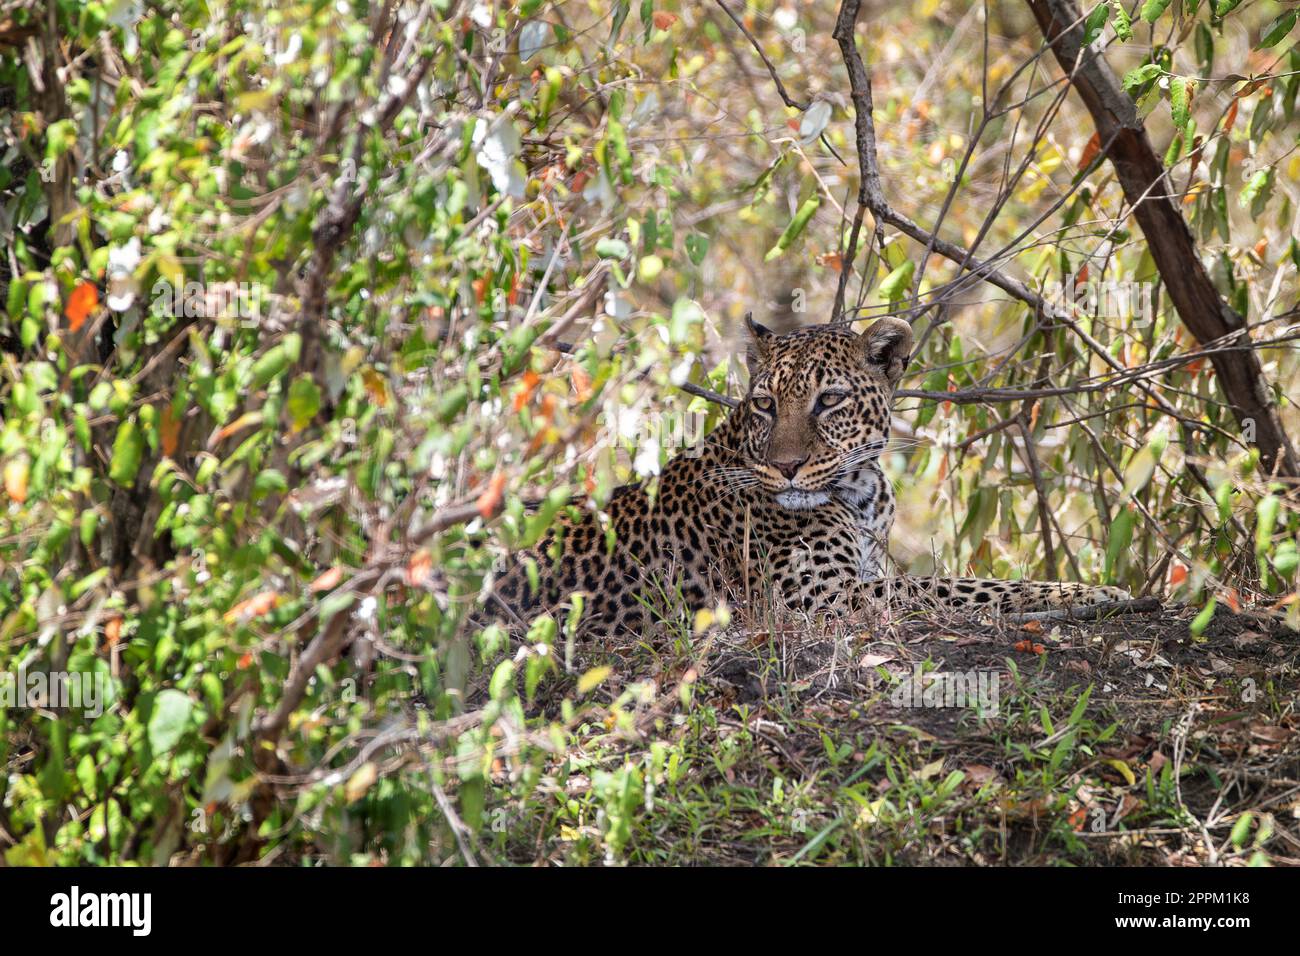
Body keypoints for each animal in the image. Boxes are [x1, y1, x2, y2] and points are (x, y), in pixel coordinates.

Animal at [488, 315, 1129, 639]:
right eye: (766, 404)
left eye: (829, 401)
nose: (786, 466)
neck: (862, 493)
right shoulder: (823, 597)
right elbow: (961, 588)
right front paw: (1092, 592)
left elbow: (964, 583)